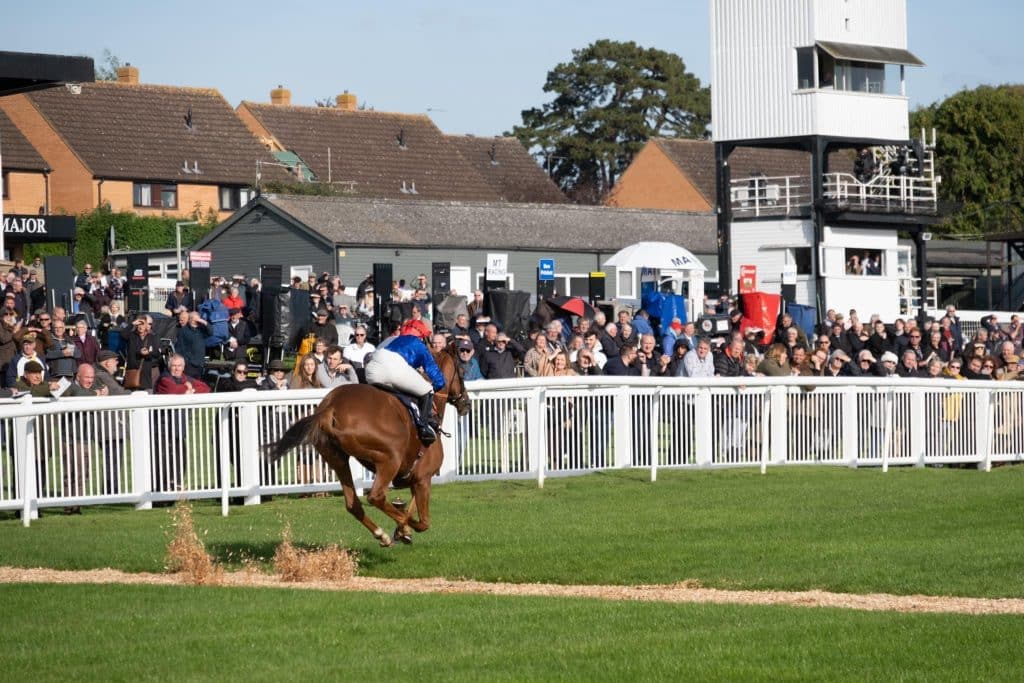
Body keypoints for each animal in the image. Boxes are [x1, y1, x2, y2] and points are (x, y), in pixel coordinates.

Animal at [263, 346, 470, 547]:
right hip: (389, 459)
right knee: (376, 497)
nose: (466, 403)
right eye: (461, 371)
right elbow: (423, 522)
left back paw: (382, 534)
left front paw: (400, 530)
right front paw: (404, 529)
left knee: (353, 504)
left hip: (337, 460)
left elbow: (411, 504)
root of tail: (330, 407)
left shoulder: (414, 478)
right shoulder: (423, 477)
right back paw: (397, 527)